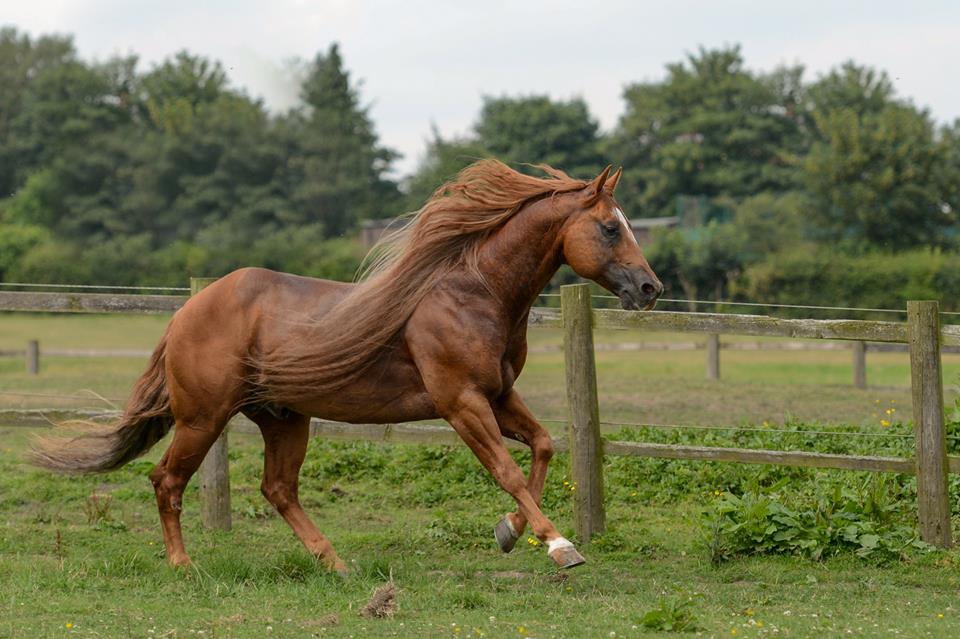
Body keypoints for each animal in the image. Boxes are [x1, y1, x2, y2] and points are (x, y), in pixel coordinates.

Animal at [31, 160, 662, 572]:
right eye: (611, 226)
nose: (650, 288)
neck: (473, 293)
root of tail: (187, 311)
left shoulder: (499, 396)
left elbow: (545, 446)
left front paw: (510, 532)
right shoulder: (461, 402)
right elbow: (506, 470)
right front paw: (559, 546)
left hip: (284, 419)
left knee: (278, 489)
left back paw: (334, 562)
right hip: (202, 420)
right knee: (167, 481)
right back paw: (184, 566)